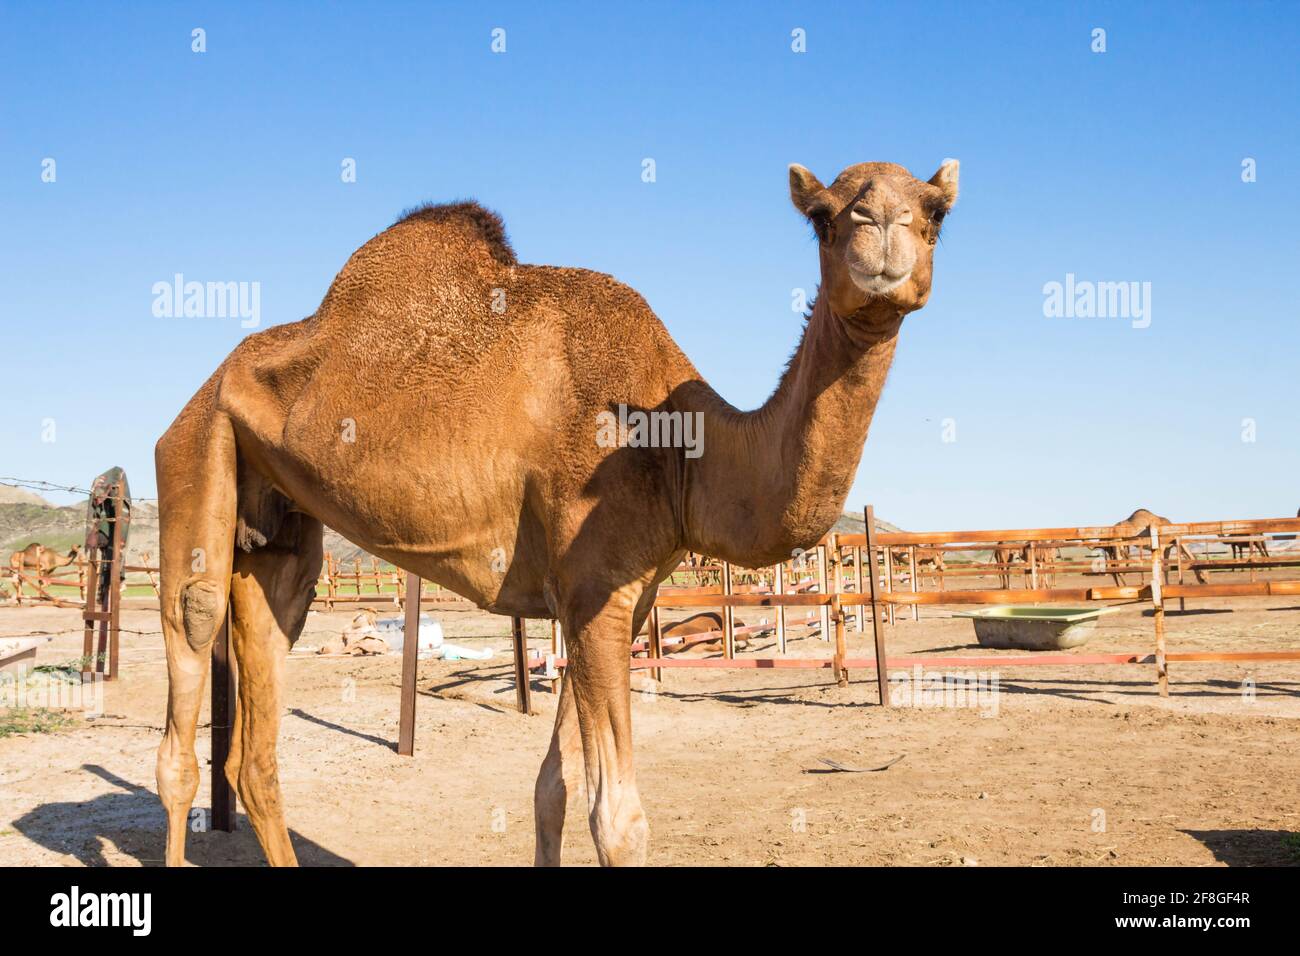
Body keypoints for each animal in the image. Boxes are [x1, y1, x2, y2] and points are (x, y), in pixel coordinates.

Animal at [154, 158, 959, 867]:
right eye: (823, 215)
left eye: (937, 211)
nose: (882, 229)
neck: (680, 449)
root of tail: (211, 382)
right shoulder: (597, 585)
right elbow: (618, 819)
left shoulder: (614, 600)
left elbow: (554, 787)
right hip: (196, 445)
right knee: (185, 692)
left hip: (277, 533)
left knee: (257, 738)